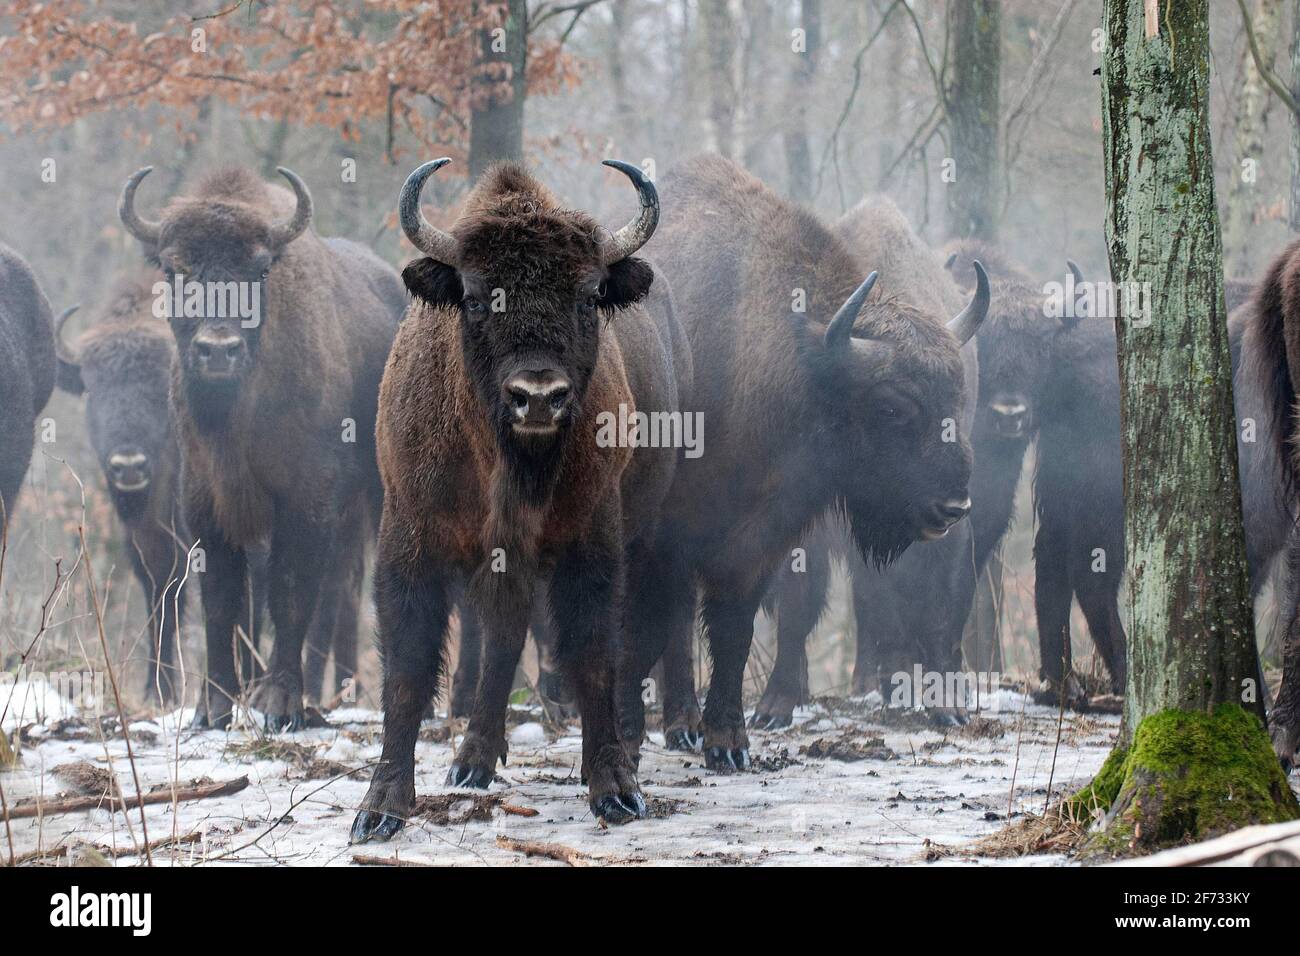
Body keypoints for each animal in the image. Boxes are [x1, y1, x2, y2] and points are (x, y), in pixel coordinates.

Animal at [118, 166, 405, 729]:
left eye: (258, 269)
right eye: (175, 268)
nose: (218, 351)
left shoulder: (307, 499)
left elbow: (290, 593)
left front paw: (279, 702)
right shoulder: (204, 502)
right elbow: (222, 598)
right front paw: (213, 706)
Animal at [351, 158, 689, 841]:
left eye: (588, 296)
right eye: (477, 297)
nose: (537, 396)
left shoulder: (593, 540)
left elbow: (594, 653)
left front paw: (615, 790)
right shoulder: (410, 538)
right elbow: (406, 669)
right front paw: (380, 809)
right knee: (503, 640)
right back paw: (472, 763)